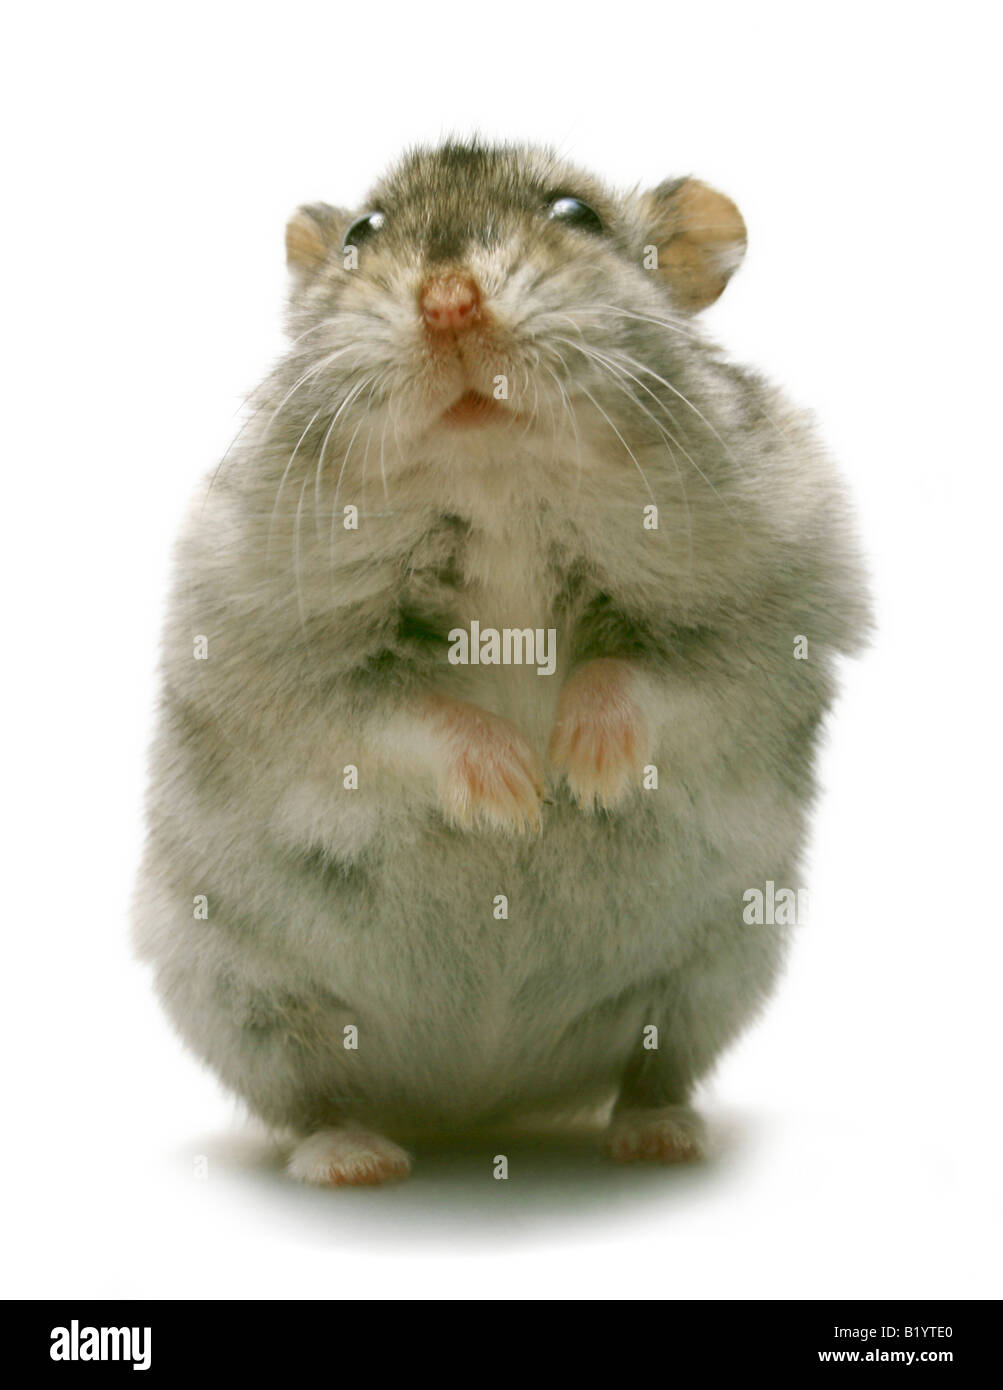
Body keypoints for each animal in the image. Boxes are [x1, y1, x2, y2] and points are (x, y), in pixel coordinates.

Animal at [133, 140, 870, 1186]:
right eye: (362, 234)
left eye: (575, 215)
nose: (446, 301)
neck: (496, 476)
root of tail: (474, 1101)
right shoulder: (284, 665)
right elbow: (397, 716)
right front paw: (519, 797)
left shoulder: (764, 621)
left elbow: (651, 677)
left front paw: (580, 775)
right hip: (243, 998)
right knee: (312, 1095)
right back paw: (354, 1158)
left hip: (714, 976)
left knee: (653, 1068)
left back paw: (659, 1137)